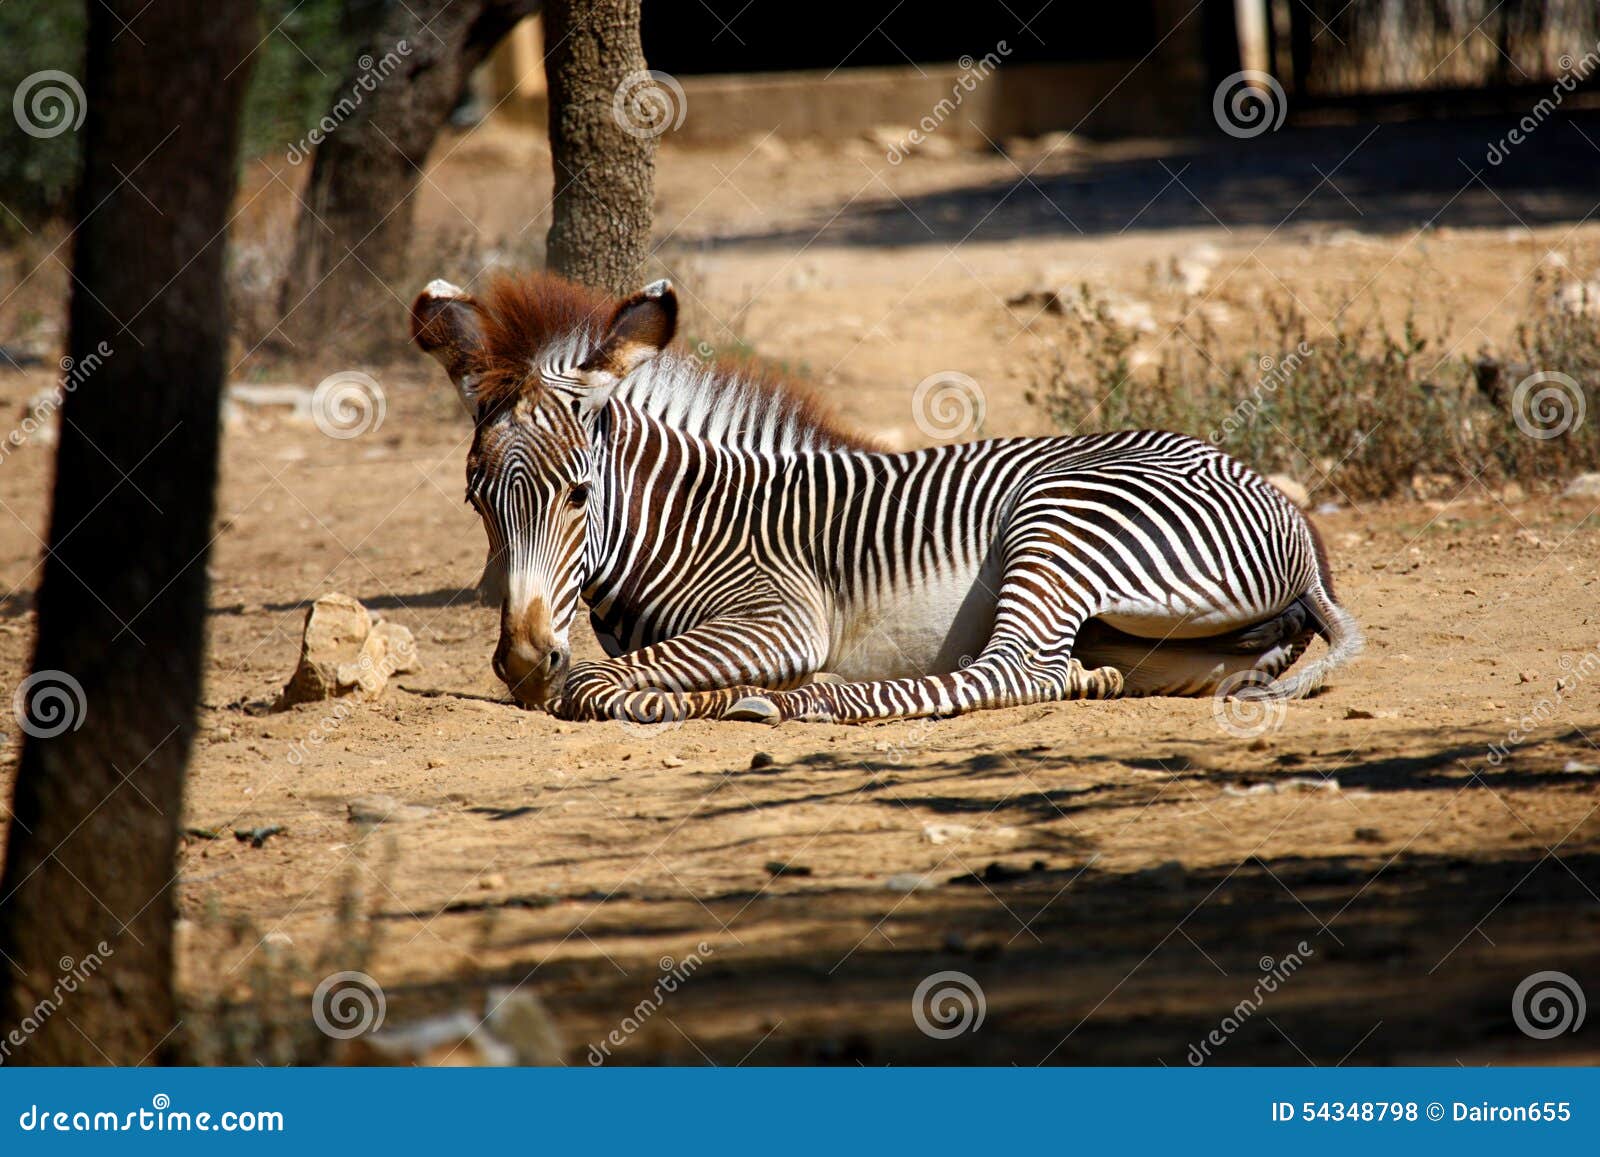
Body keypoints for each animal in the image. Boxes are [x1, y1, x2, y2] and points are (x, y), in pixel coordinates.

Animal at [409, 273, 1362, 725]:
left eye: (578, 494)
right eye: (475, 502)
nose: (523, 660)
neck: (691, 523)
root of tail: (1294, 522)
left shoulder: (778, 615)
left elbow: (597, 686)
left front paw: (716, 696)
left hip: (1057, 519)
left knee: (1011, 668)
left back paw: (809, 700)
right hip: (1173, 643)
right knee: (1065, 671)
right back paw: (1095, 679)